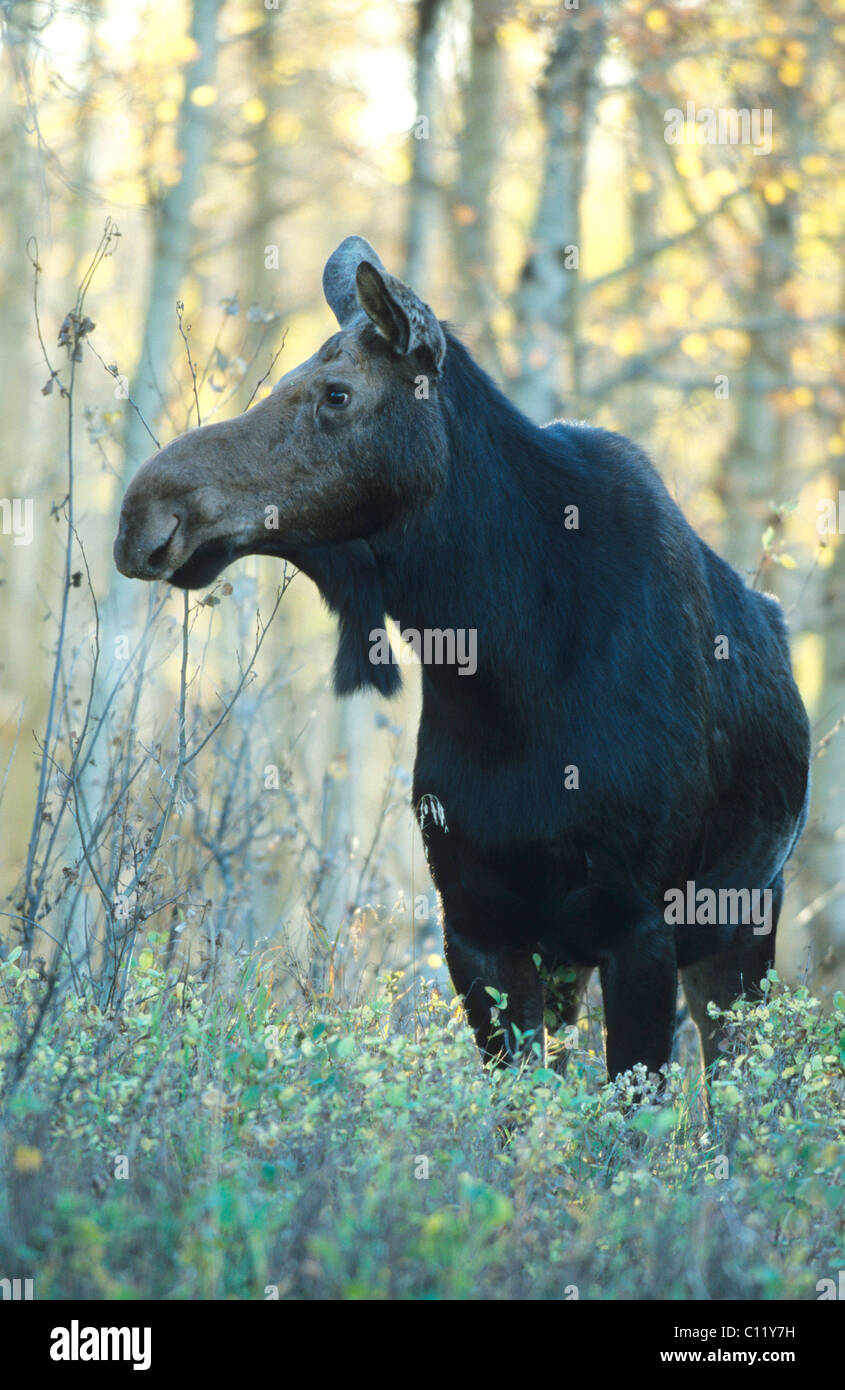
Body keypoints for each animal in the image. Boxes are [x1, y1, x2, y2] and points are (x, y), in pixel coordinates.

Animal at [114, 235, 811, 1083]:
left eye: (336, 394)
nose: (146, 511)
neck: (504, 672)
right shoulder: (477, 925)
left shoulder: (639, 923)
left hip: (746, 919)